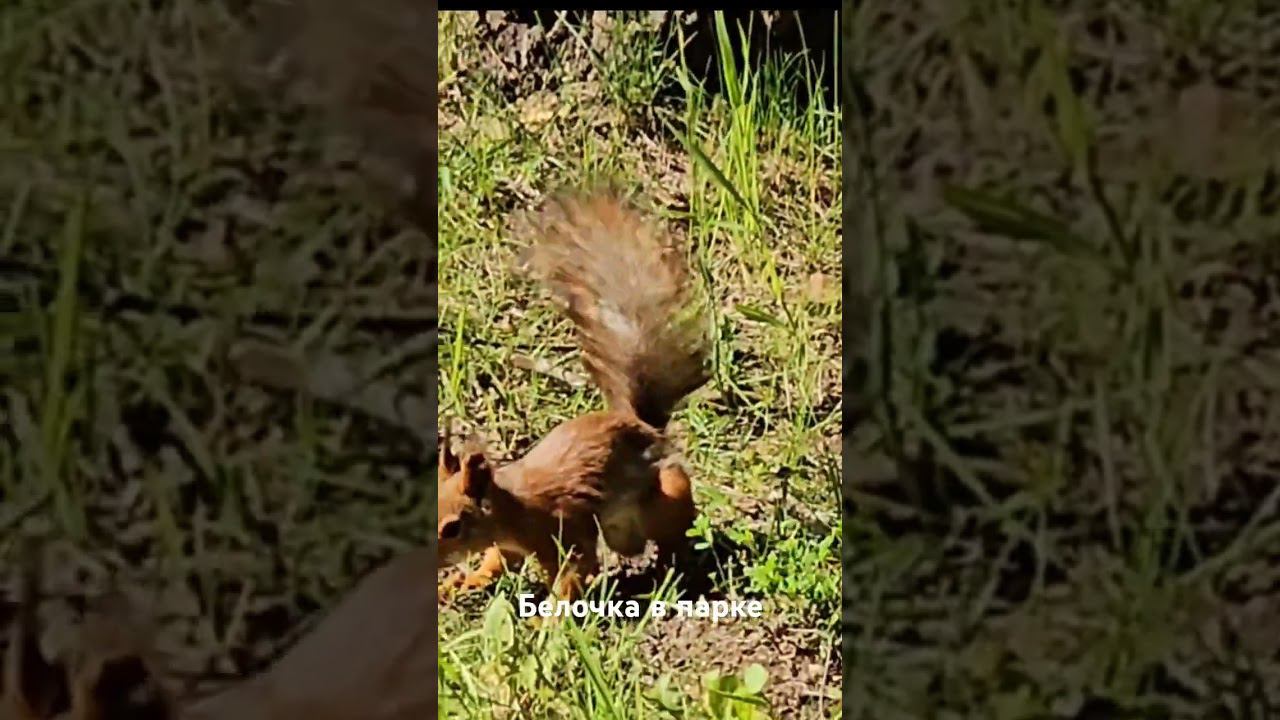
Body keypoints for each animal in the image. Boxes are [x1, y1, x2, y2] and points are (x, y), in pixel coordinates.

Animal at [437, 192, 711, 602]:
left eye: (453, 528)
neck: (512, 510)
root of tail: (641, 423)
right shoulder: (507, 547)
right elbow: (495, 563)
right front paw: (463, 582)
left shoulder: (561, 530)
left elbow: (574, 572)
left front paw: (548, 616)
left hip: (655, 504)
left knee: (674, 519)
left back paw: (675, 567)